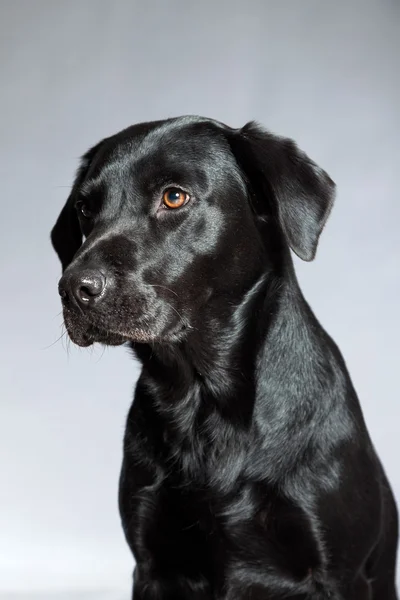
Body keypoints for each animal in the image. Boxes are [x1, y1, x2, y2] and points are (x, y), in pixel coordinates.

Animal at [50, 115, 396, 596]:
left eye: (174, 197)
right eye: (85, 208)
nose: (73, 289)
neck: (203, 400)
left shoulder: (340, 574)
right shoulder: (151, 565)